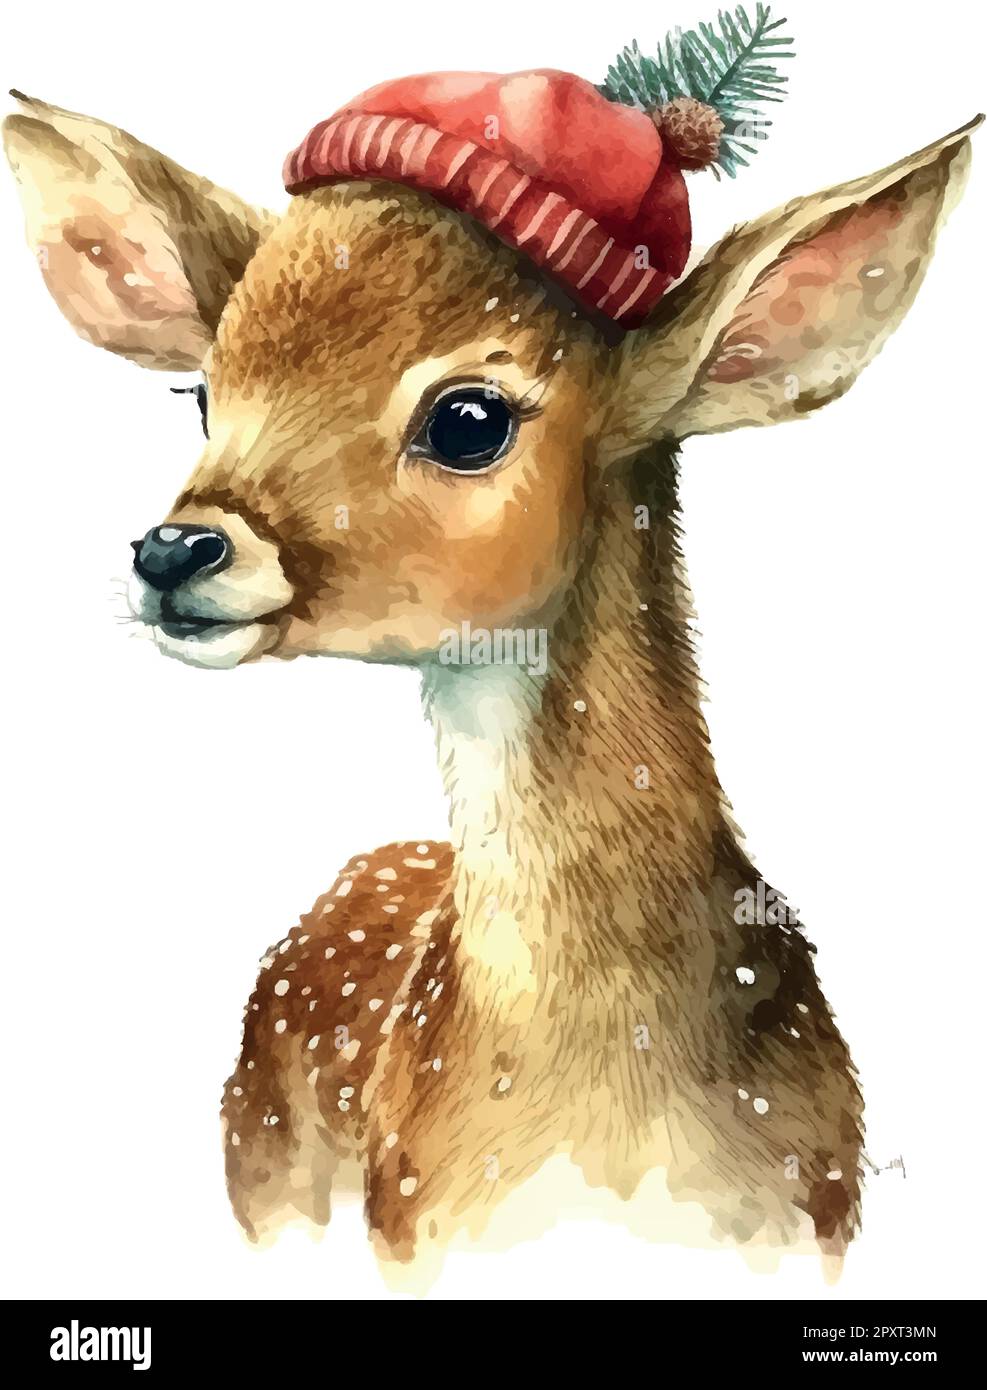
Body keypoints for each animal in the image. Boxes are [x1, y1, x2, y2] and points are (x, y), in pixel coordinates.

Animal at [4, 74, 979, 1278]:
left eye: (469, 417)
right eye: (200, 393)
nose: (177, 549)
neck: (605, 1114)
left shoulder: (811, 1214)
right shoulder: (411, 1221)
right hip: (262, 1166)